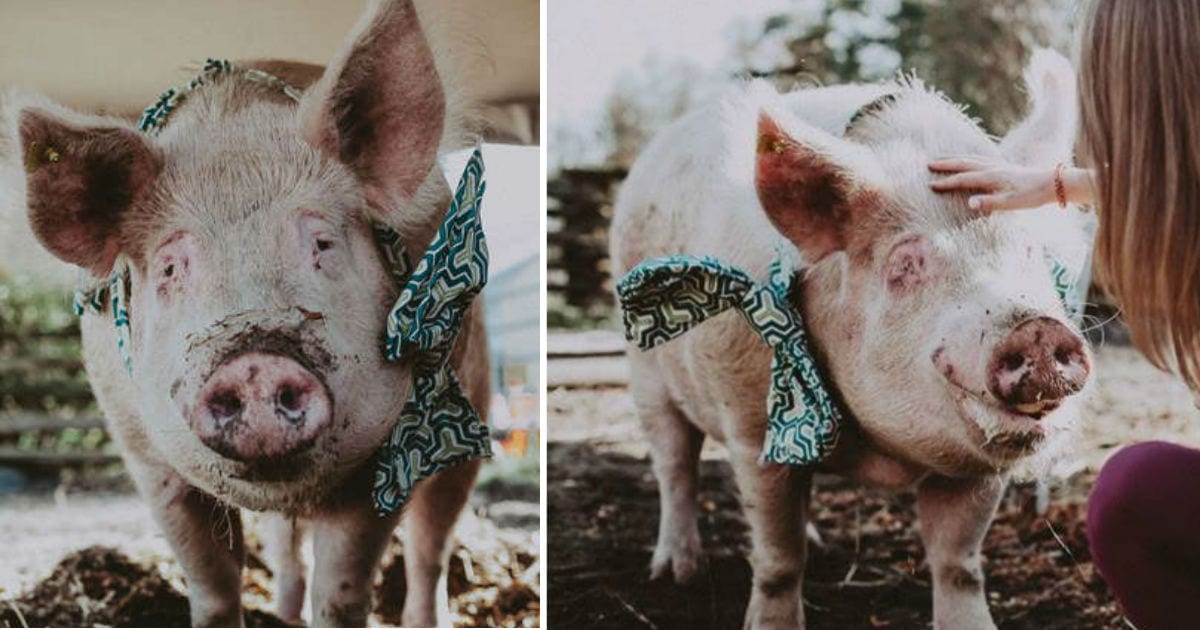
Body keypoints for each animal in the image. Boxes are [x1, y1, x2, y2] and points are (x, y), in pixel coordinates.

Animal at [3, 0, 488, 626]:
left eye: (322, 242)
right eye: (171, 268)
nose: (254, 363)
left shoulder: (383, 454)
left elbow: (342, 590)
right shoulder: (147, 458)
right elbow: (212, 585)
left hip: (473, 405)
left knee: (432, 544)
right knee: (287, 554)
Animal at [609, 49, 1092, 630]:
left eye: (1031, 251)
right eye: (905, 263)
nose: (1037, 328)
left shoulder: (977, 469)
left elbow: (958, 562)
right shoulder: (752, 427)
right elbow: (777, 557)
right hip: (644, 372)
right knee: (674, 465)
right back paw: (677, 572)